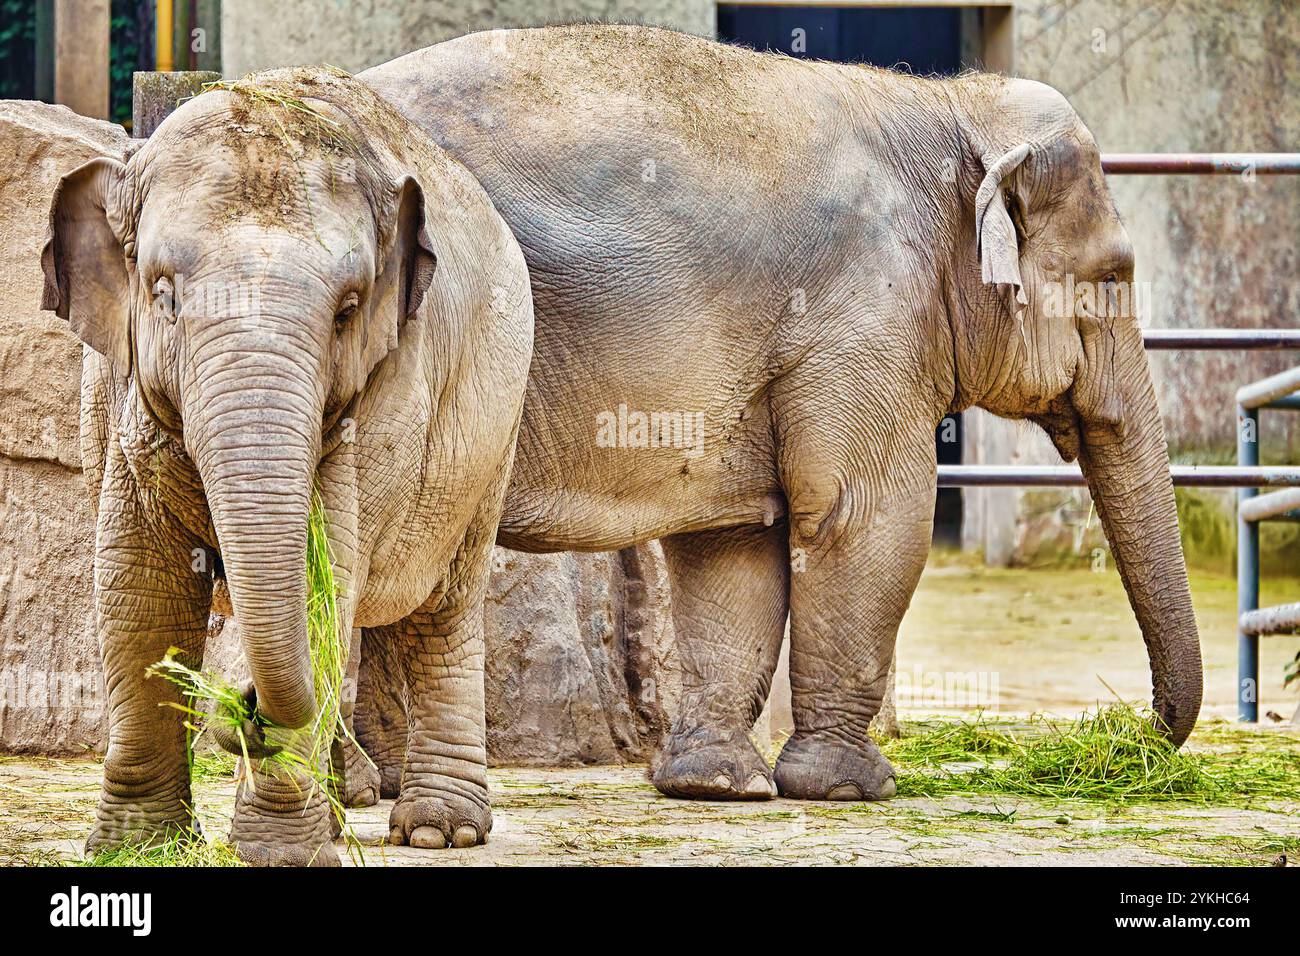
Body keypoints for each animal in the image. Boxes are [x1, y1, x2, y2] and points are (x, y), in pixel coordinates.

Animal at [47, 67, 533, 864]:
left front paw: (279, 853)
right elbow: (140, 592)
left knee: (445, 607)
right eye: (162, 292)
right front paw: (137, 848)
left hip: (492, 428)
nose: (243, 705)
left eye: (349, 309)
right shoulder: (124, 397)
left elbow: (321, 580)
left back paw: (440, 829)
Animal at [354, 24, 1204, 803]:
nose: (1130, 736)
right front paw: (851, 789)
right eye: (1112, 278)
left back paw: (382, 783)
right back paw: (364, 787)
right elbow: (863, 515)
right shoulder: (863, 314)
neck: (951, 106)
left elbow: (731, 545)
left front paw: (716, 787)